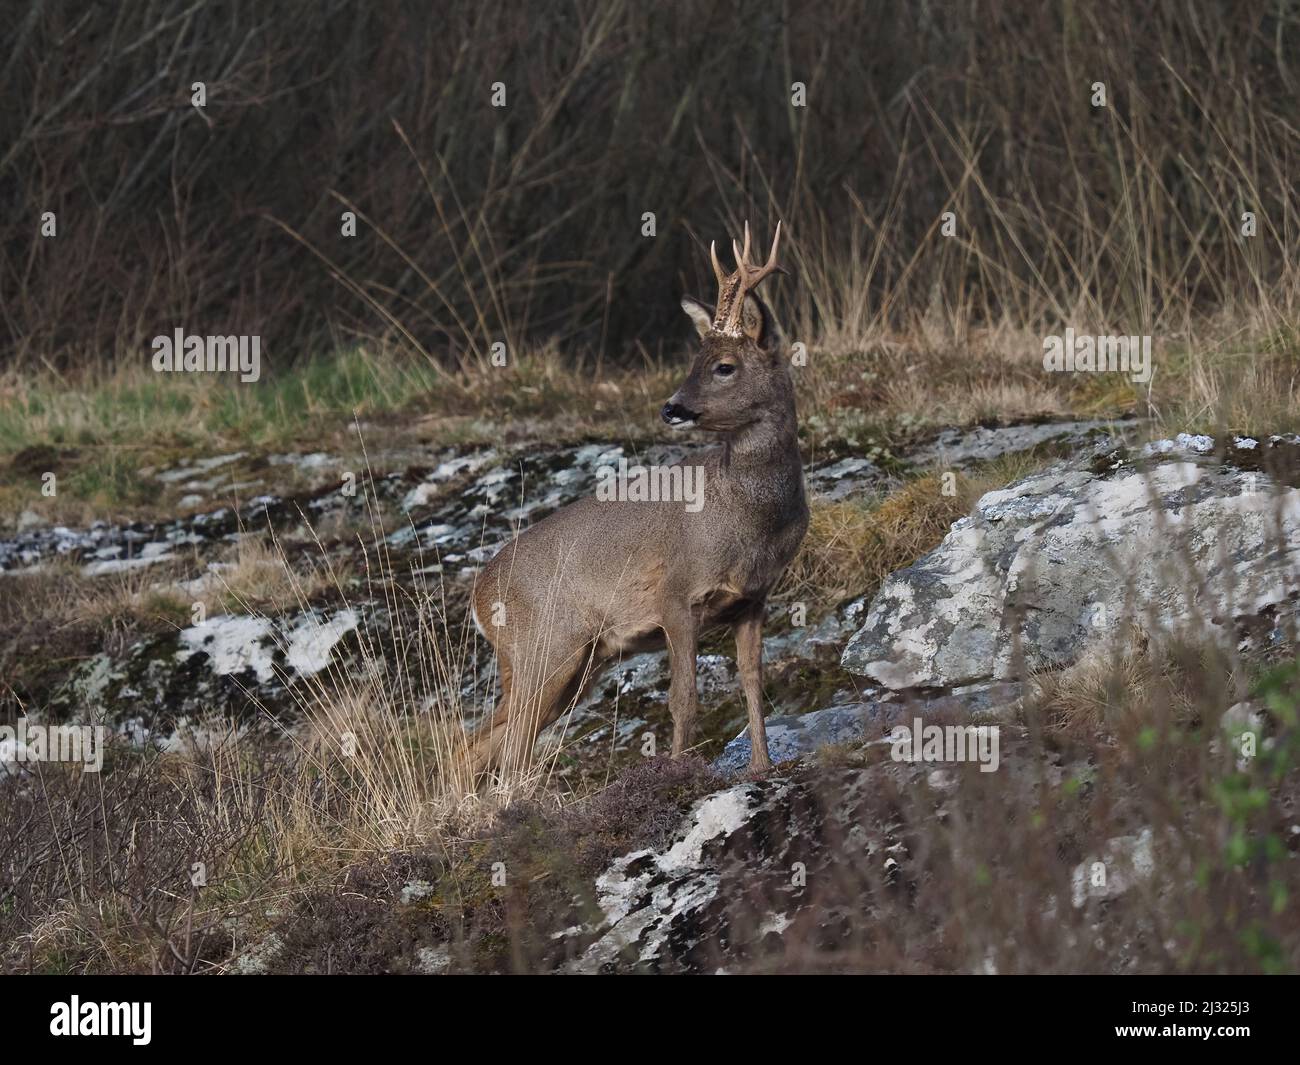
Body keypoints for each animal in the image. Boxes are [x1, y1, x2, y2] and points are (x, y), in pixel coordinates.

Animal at [466, 222, 807, 781]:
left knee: (474, 744)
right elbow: (683, 697)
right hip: (546, 649)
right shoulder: (674, 593)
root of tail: (477, 593)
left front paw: (762, 766)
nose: (672, 407)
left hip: (571, 663)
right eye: (692, 361)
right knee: (507, 746)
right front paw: (677, 774)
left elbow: (753, 685)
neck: (748, 516)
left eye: (724, 366)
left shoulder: (752, 599)